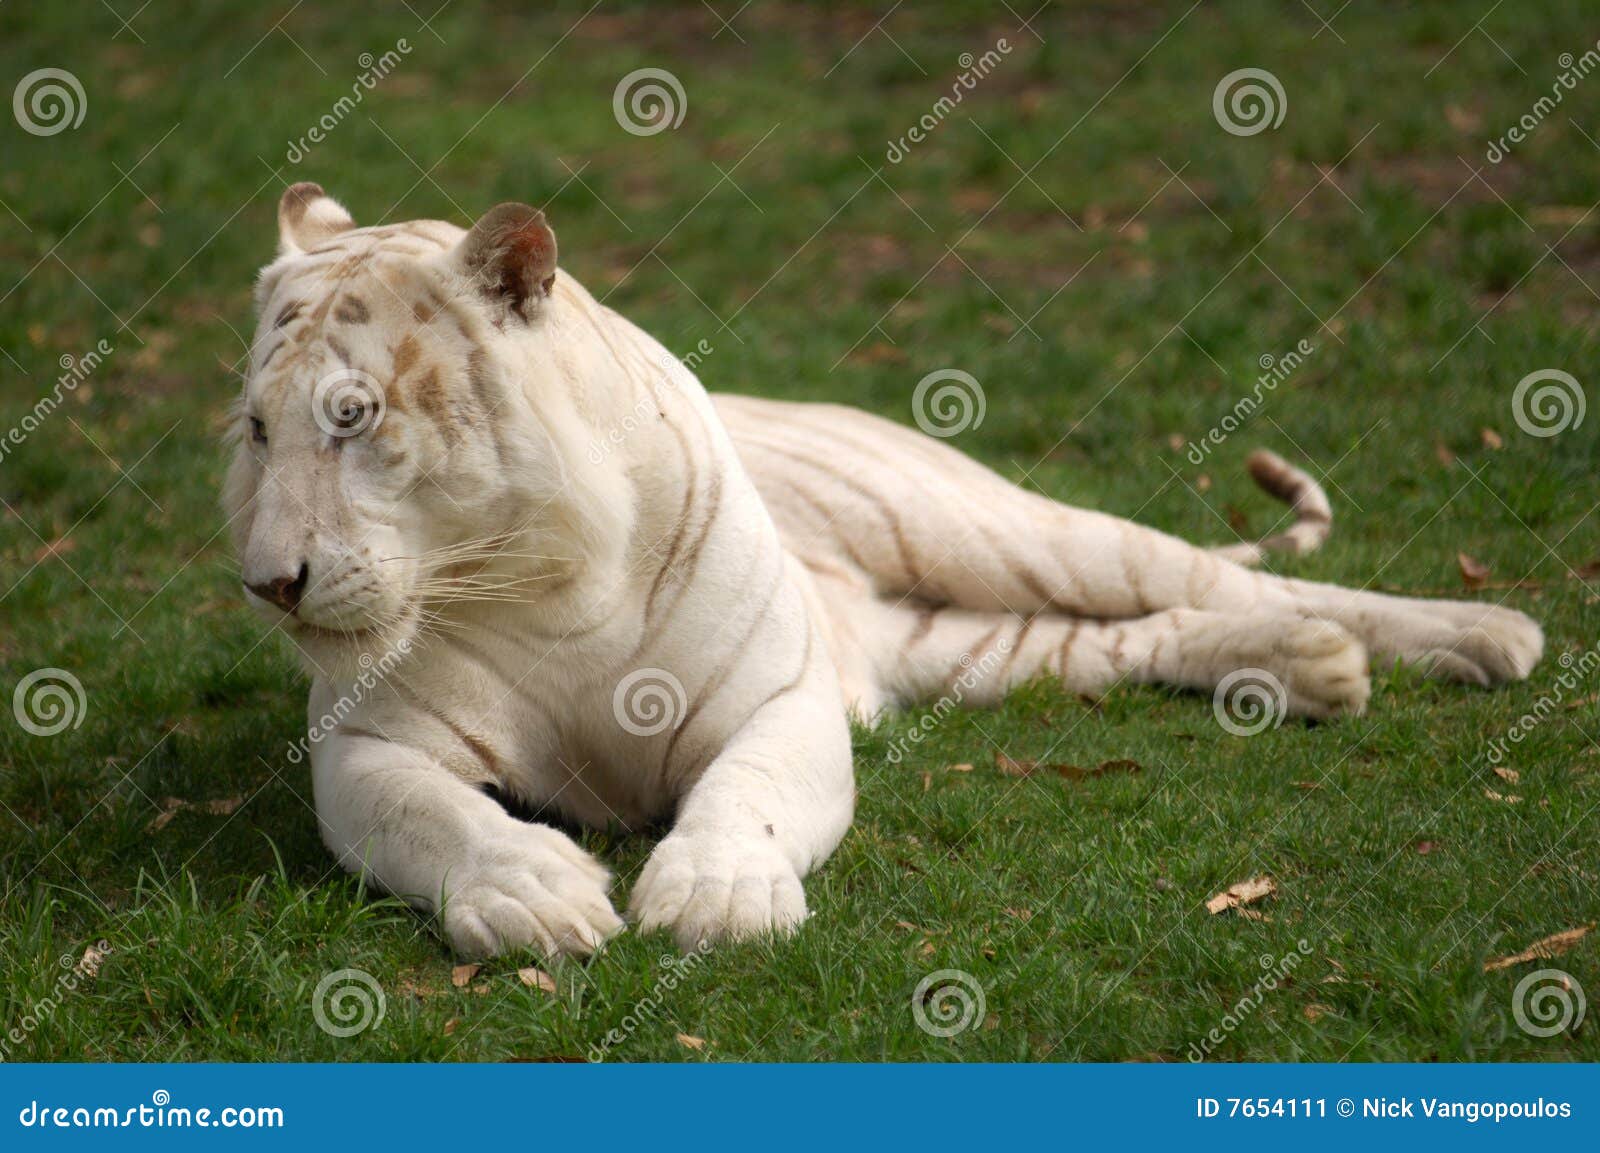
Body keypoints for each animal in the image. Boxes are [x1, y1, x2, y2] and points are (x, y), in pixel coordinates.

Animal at [226, 183, 1544, 958]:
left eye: (354, 417)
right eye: (256, 429)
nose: (268, 583)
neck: (543, 581)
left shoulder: (775, 700)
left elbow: (744, 792)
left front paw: (716, 897)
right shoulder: (366, 746)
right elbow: (439, 814)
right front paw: (534, 893)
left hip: (997, 531)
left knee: (1229, 581)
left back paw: (1482, 635)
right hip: (976, 650)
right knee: (1144, 635)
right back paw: (1310, 674)